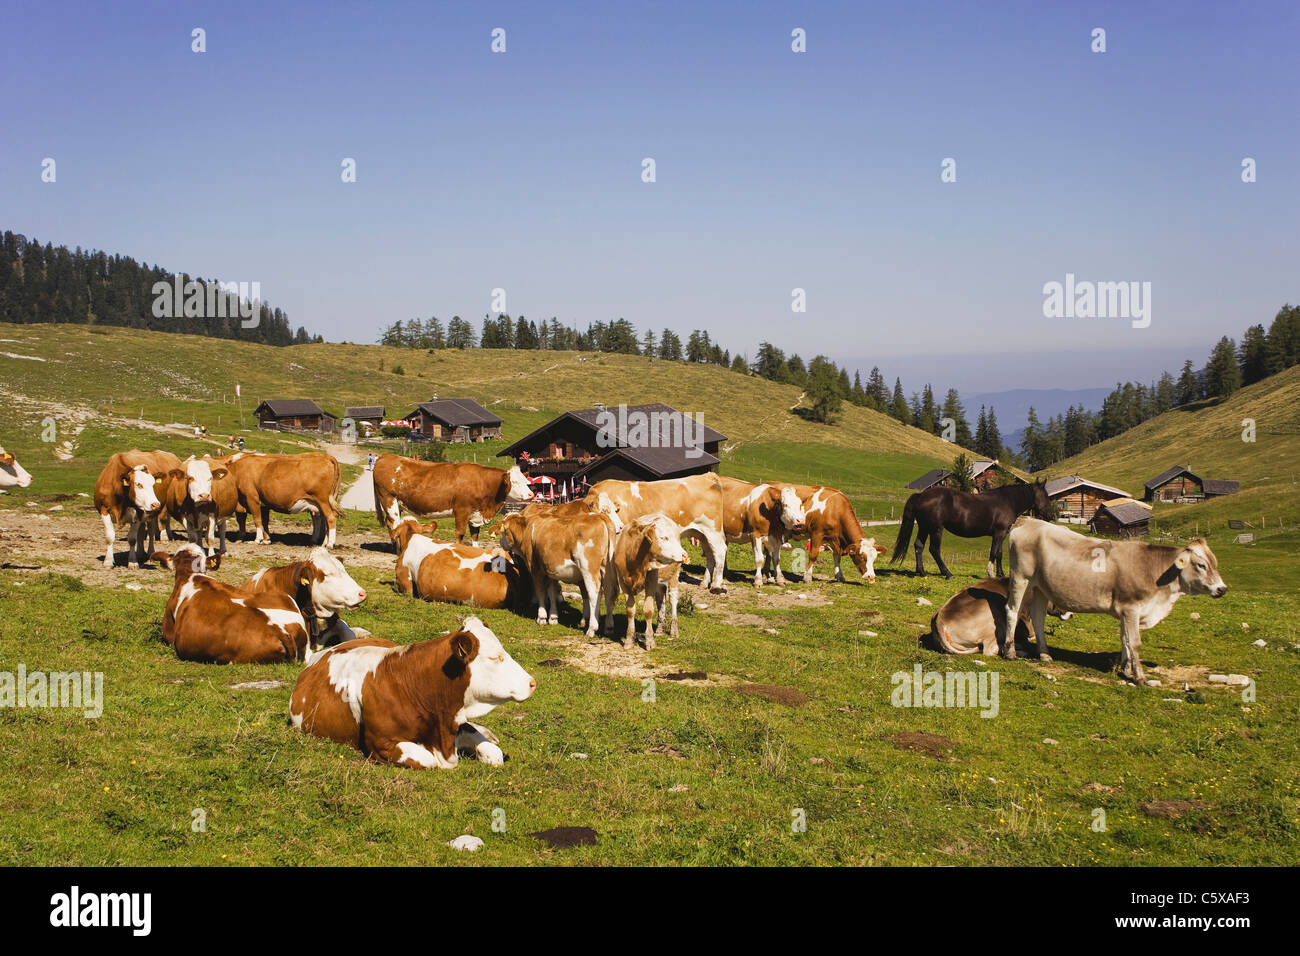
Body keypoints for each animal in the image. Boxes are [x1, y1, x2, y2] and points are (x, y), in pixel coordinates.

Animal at [372, 455, 532, 543]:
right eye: (515, 482)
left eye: (526, 481)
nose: (531, 495)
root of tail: (385, 456)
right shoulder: (461, 510)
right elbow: (460, 534)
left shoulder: (475, 514)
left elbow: (475, 535)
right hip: (388, 499)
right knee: (394, 523)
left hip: (397, 503)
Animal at [497, 508, 619, 636]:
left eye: (503, 532)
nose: (500, 543)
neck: (527, 529)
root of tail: (599, 516)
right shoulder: (550, 569)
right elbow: (552, 592)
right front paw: (553, 617)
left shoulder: (536, 569)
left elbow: (540, 592)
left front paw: (542, 618)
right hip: (608, 570)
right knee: (609, 594)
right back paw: (609, 627)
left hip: (588, 569)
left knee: (594, 594)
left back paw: (591, 629)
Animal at [589, 473, 728, 592]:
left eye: (606, 510)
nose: (619, 526)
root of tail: (707, 476)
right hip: (702, 533)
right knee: (710, 554)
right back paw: (704, 583)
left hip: (712, 530)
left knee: (720, 552)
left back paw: (716, 585)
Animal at [612, 513, 689, 650]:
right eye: (664, 538)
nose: (685, 554)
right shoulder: (622, 581)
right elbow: (630, 610)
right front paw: (629, 640)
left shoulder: (651, 580)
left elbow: (648, 610)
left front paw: (650, 641)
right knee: (660, 598)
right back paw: (660, 628)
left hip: (674, 574)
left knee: (673, 599)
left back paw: (674, 629)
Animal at [1004, 518, 1228, 684]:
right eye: (1201, 565)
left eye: (1215, 564)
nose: (1222, 589)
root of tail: (1027, 520)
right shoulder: (1131, 608)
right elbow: (1134, 641)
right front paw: (1139, 677)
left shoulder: (1125, 611)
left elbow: (1124, 639)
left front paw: (1127, 669)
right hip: (1021, 577)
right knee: (1012, 610)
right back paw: (1010, 652)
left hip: (1041, 587)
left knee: (1038, 618)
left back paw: (1044, 654)